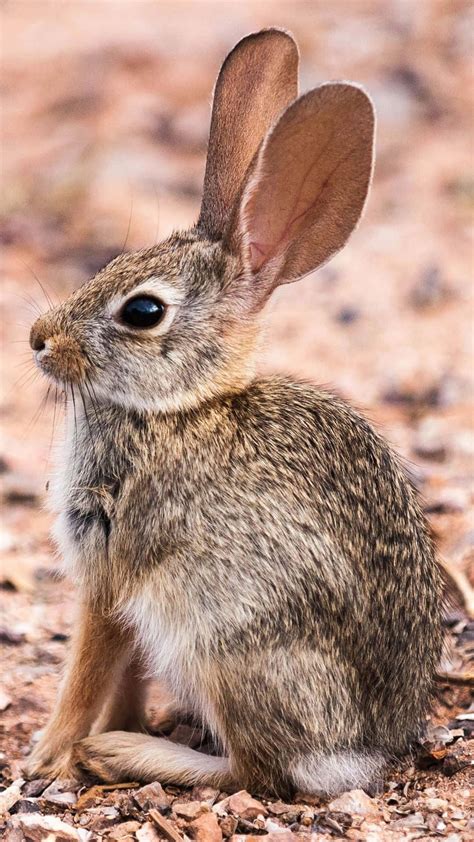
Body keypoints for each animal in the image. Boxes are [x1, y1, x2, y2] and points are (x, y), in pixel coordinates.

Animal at [26, 28, 442, 797]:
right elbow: (127, 669)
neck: (177, 408)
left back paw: (126, 754)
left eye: (143, 312)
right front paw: (120, 722)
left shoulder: (114, 563)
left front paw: (51, 753)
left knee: (257, 772)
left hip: (228, 642)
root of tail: (359, 754)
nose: (39, 338)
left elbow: (91, 662)